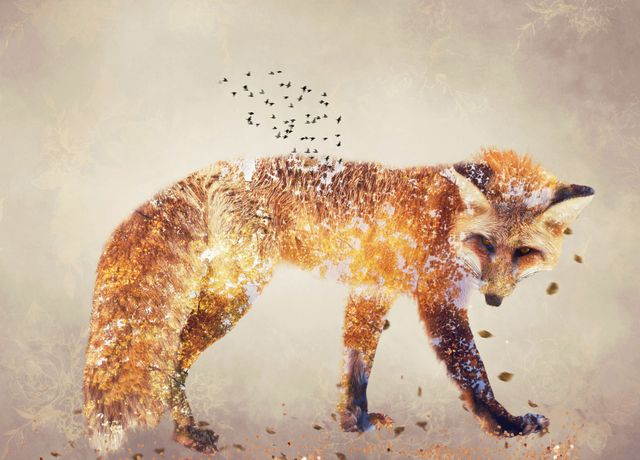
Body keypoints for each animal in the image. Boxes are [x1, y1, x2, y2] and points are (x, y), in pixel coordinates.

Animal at [83, 148, 594, 454]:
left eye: (524, 252)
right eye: (486, 244)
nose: (492, 300)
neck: (448, 216)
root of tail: (214, 168)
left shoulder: (372, 288)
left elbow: (356, 366)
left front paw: (355, 423)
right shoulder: (439, 300)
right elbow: (476, 378)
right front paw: (506, 426)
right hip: (237, 295)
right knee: (172, 357)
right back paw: (187, 432)